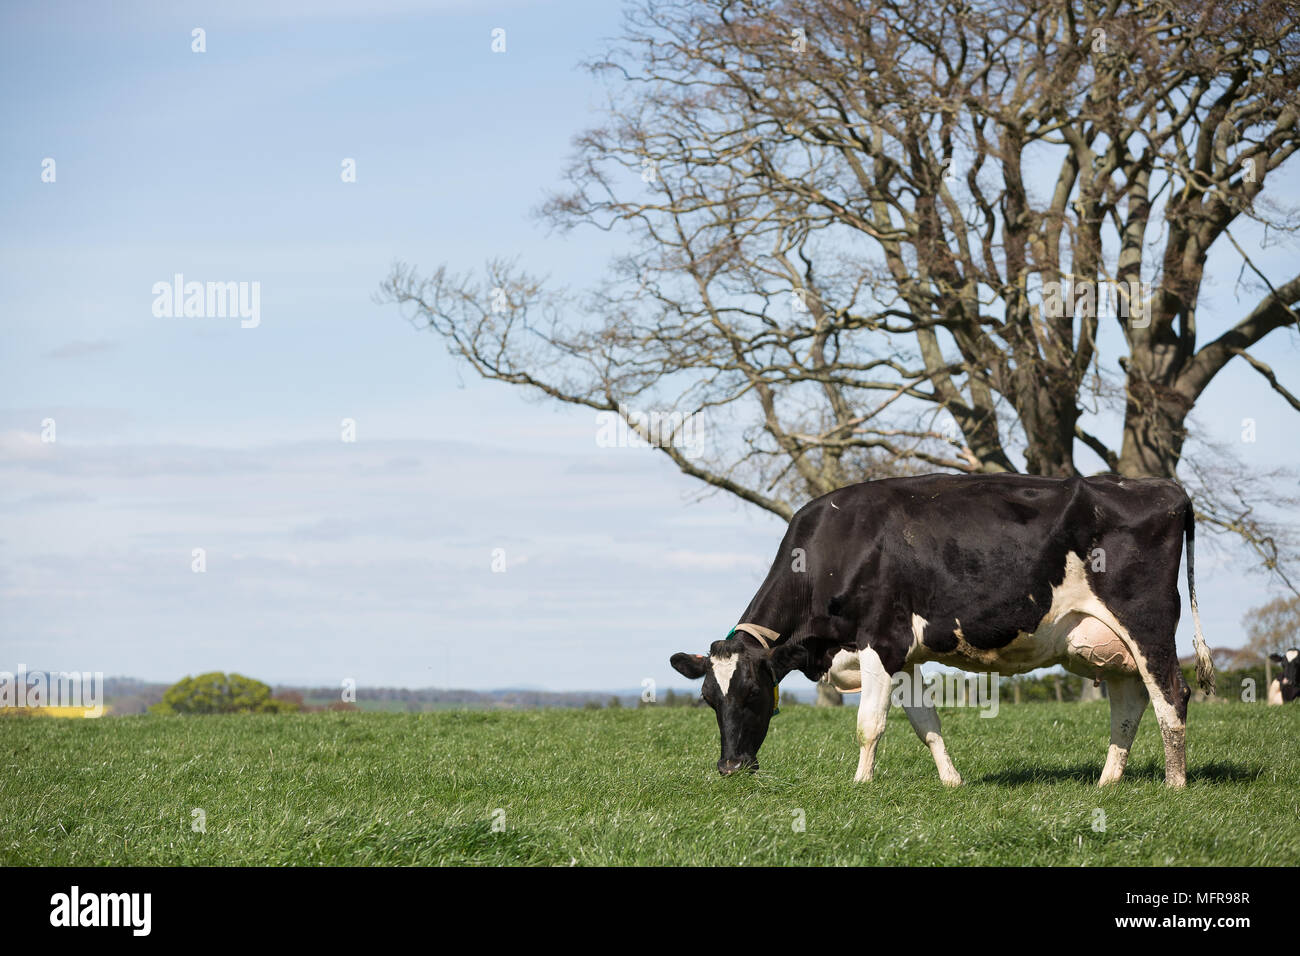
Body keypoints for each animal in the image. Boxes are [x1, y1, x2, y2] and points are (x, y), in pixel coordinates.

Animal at [670, 473, 1215, 788]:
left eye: (754, 692)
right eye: (708, 699)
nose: (730, 769)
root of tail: (1164, 486)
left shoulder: (880, 642)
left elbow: (870, 724)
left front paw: (860, 786)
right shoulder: (904, 657)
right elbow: (925, 722)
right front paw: (952, 782)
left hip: (1146, 622)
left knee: (1171, 696)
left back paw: (1175, 785)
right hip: (1107, 645)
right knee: (1129, 704)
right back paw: (1107, 783)